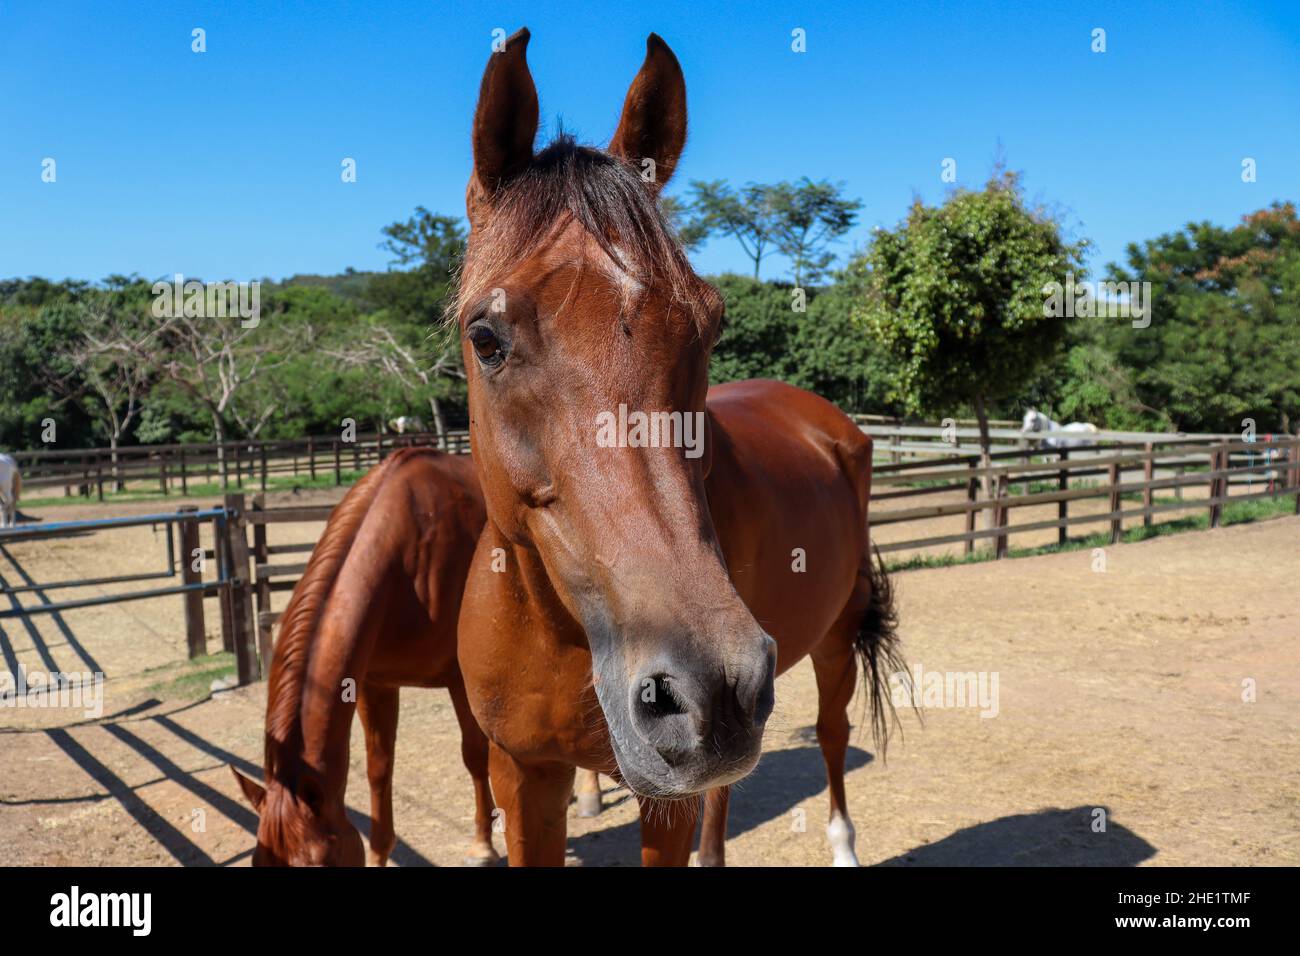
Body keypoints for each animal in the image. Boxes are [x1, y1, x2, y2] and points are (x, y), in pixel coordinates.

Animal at [230, 447, 499, 866]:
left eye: (318, 863)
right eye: (259, 861)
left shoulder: (459, 678)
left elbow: (474, 754)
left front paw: (482, 844)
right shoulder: (374, 684)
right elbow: (379, 769)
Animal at [453, 29, 903, 867]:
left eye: (709, 322)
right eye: (486, 337)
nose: (709, 687)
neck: (559, 634)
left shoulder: (662, 804)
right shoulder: (521, 774)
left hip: (831, 641)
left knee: (832, 733)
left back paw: (843, 843)